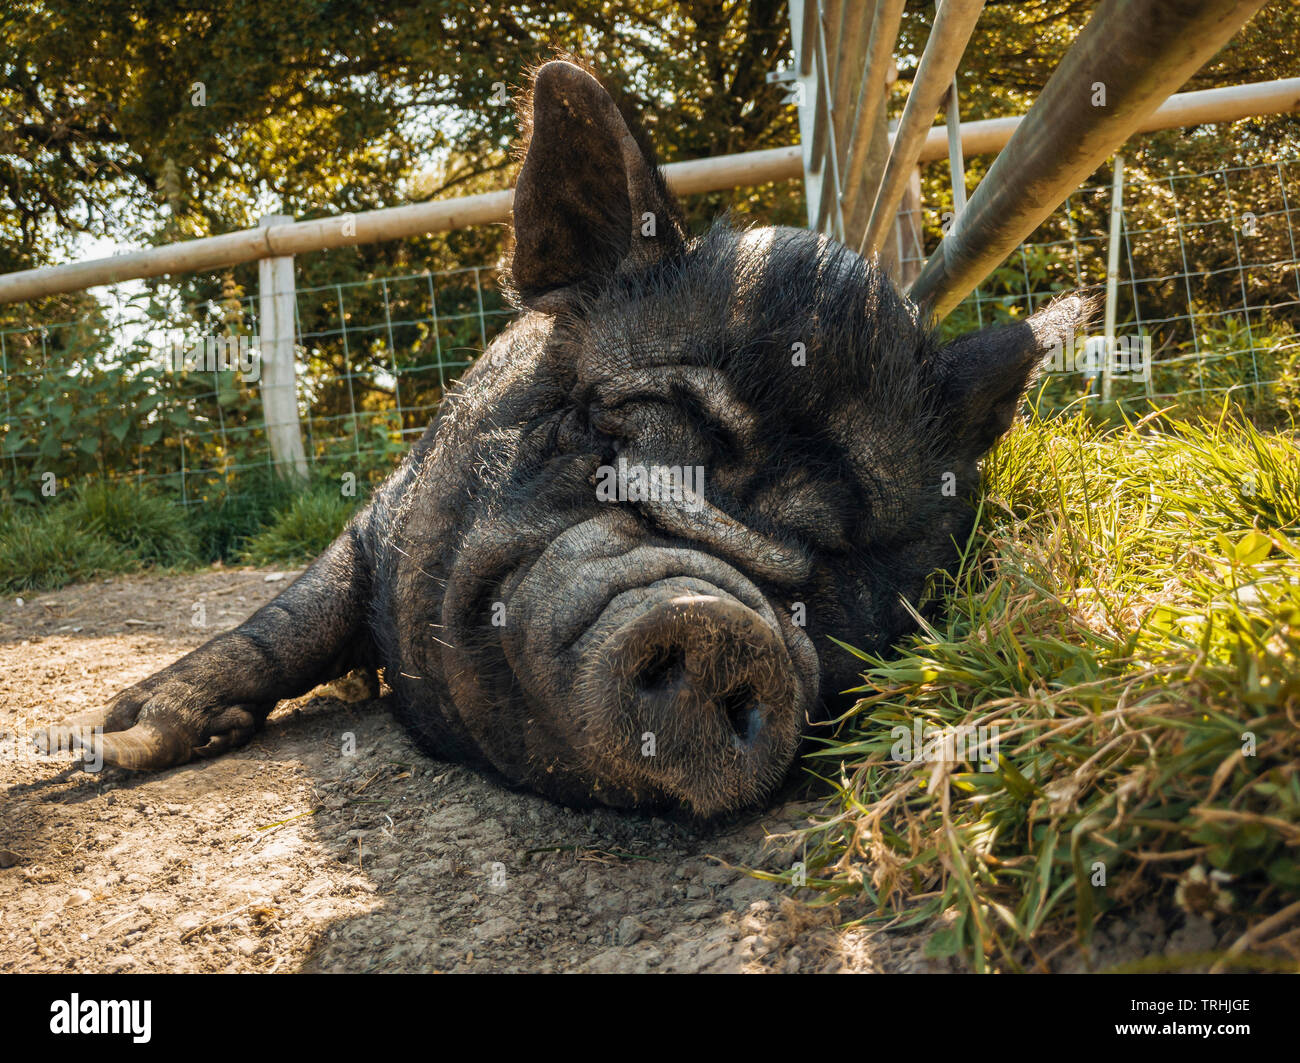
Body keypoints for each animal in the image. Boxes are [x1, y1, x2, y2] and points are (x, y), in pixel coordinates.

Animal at [36, 61, 1089, 818]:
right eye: (617, 430)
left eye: (842, 558)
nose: (718, 622)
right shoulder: (379, 515)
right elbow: (291, 617)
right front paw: (107, 743)